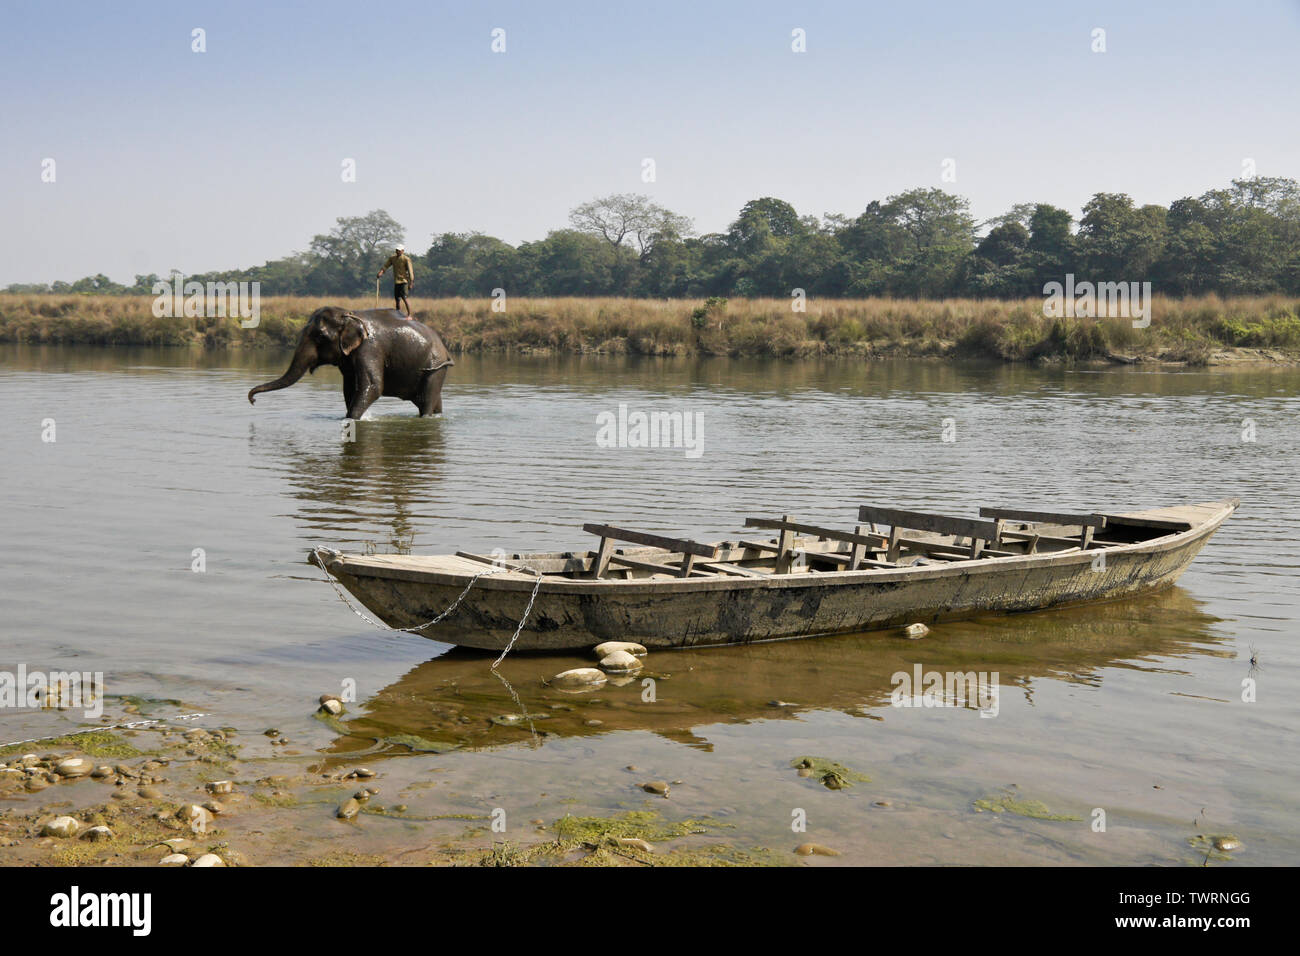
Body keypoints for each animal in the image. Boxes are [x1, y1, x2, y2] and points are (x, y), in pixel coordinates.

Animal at [248, 307, 454, 418]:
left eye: (320, 336)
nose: (253, 400)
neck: (349, 314)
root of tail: (445, 349)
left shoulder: (369, 348)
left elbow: (372, 386)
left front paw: (351, 419)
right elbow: (349, 388)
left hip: (435, 368)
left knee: (426, 400)